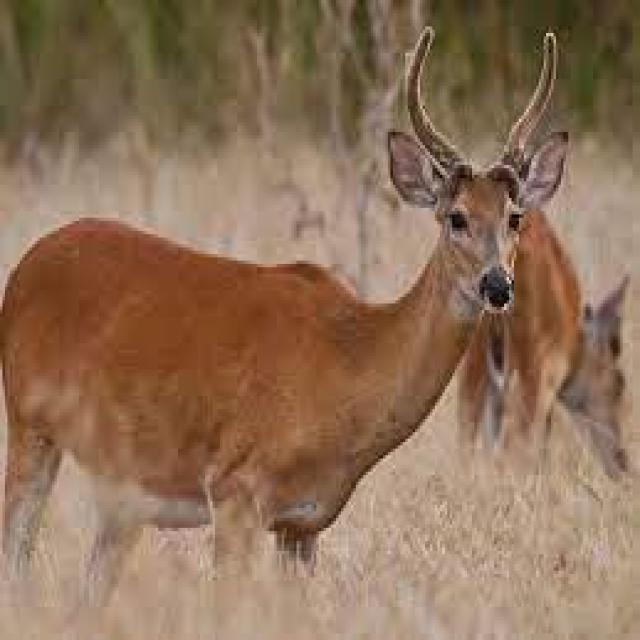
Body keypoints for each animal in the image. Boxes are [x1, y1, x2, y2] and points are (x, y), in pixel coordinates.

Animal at [1, 26, 567, 607]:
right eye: (456, 217)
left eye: (515, 217)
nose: (498, 286)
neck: (353, 358)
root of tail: (24, 266)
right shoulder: (236, 489)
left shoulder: (304, 524)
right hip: (27, 423)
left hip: (120, 492)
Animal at [458, 208, 630, 478]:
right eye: (618, 383)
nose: (621, 462)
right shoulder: (550, 372)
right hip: (531, 366)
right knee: (516, 441)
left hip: (475, 359)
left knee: (467, 432)